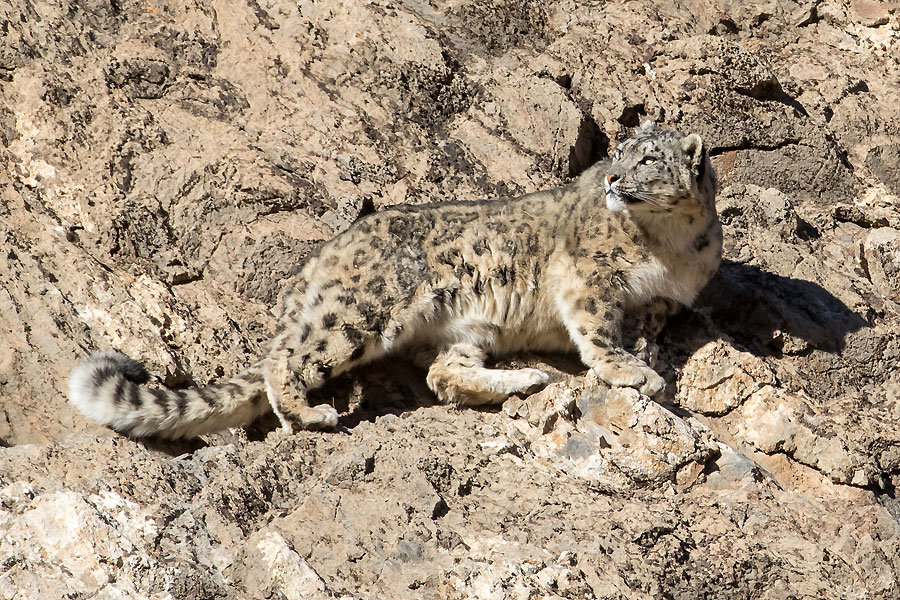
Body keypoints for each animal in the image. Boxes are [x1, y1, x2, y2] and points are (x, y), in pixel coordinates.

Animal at [69, 121, 722, 439]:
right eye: (619, 151)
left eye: (647, 158)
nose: (612, 177)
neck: (668, 247)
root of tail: (320, 257)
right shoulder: (591, 279)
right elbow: (601, 330)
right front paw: (632, 371)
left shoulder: (662, 301)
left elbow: (647, 329)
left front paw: (649, 358)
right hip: (362, 312)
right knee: (288, 356)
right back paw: (309, 415)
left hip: (462, 332)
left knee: (442, 374)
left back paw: (525, 378)